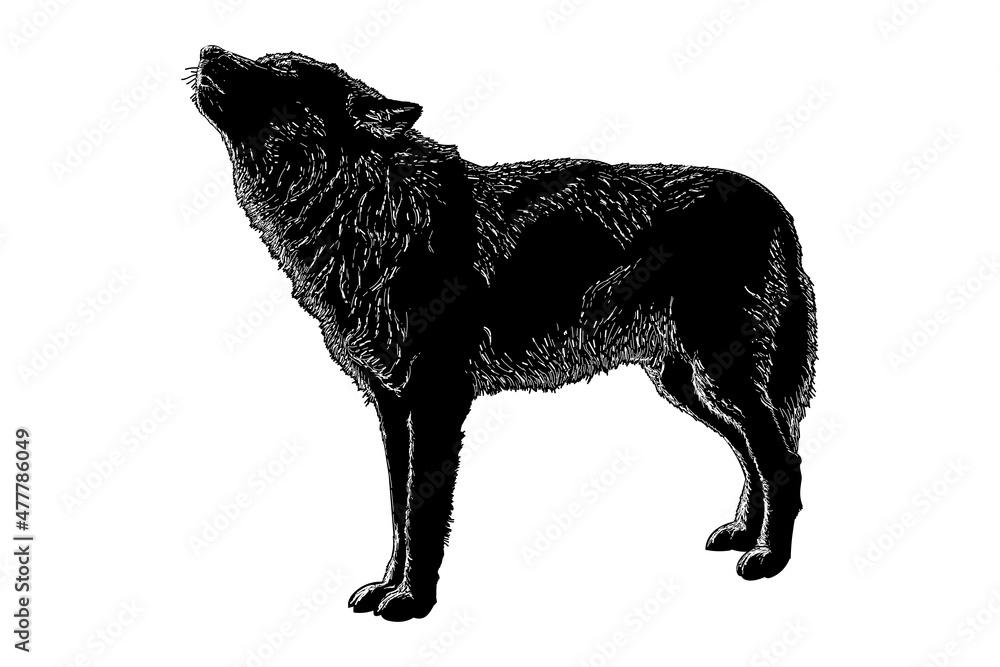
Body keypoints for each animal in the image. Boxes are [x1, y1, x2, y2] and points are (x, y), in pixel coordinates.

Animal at [190, 45, 818, 622]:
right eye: (265, 57)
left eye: (282, 73)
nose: (207, 50)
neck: (370, 211)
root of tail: (773, 204)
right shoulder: (393, 406)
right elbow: (398, 508)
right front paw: (388, 585)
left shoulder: (437, 403)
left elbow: (422, 513)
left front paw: (412, 601)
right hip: (688, 384)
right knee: (755, 453)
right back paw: (744, 534)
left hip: (719, 375)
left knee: (781, 458)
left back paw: (769, 558)